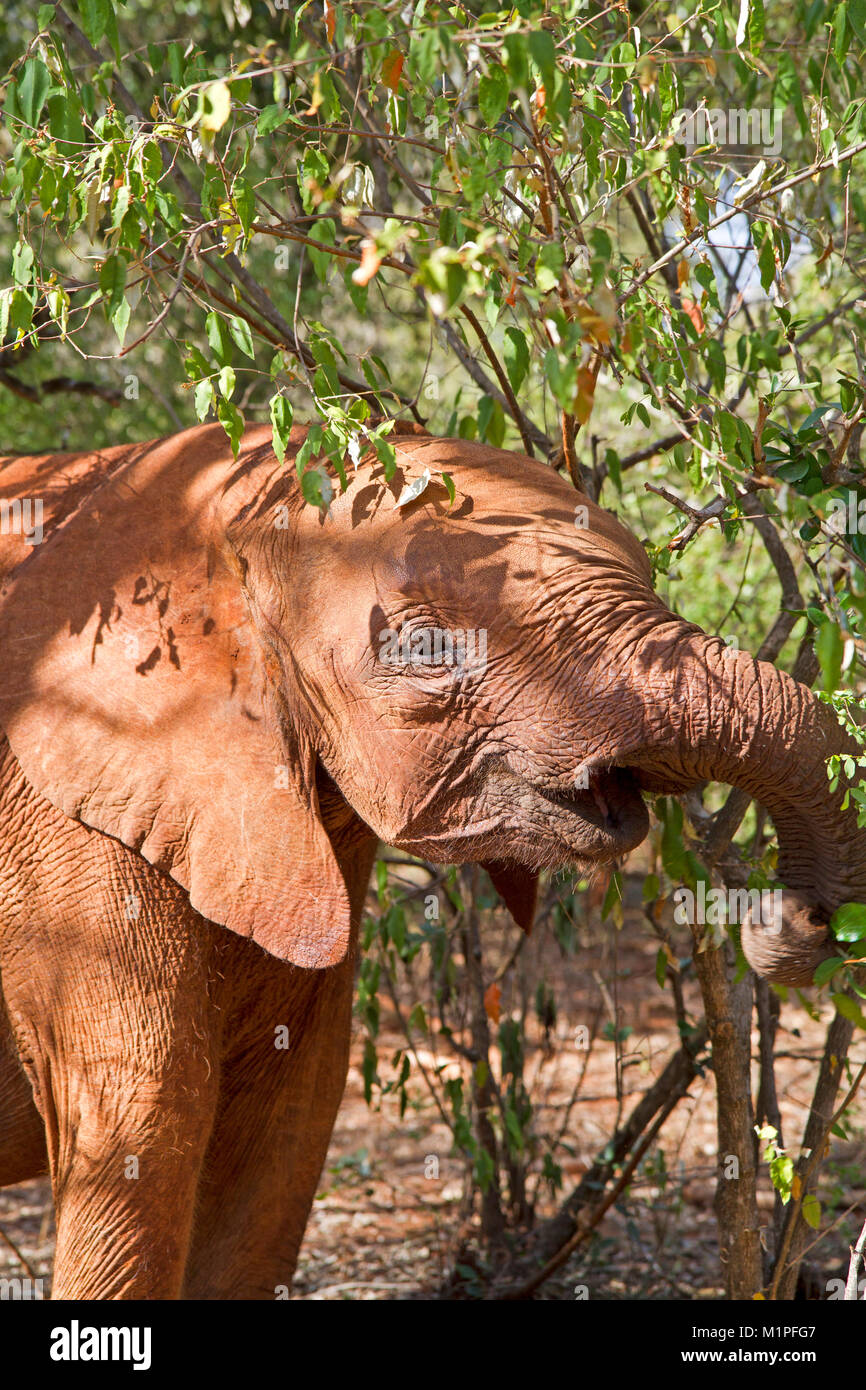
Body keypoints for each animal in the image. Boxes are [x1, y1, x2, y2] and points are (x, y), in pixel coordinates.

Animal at [0, 420, 862, 1299]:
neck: (233, 496)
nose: (795, 916)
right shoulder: (70, 822)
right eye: (425, 648)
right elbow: (147, 1118)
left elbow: (287, 1121)